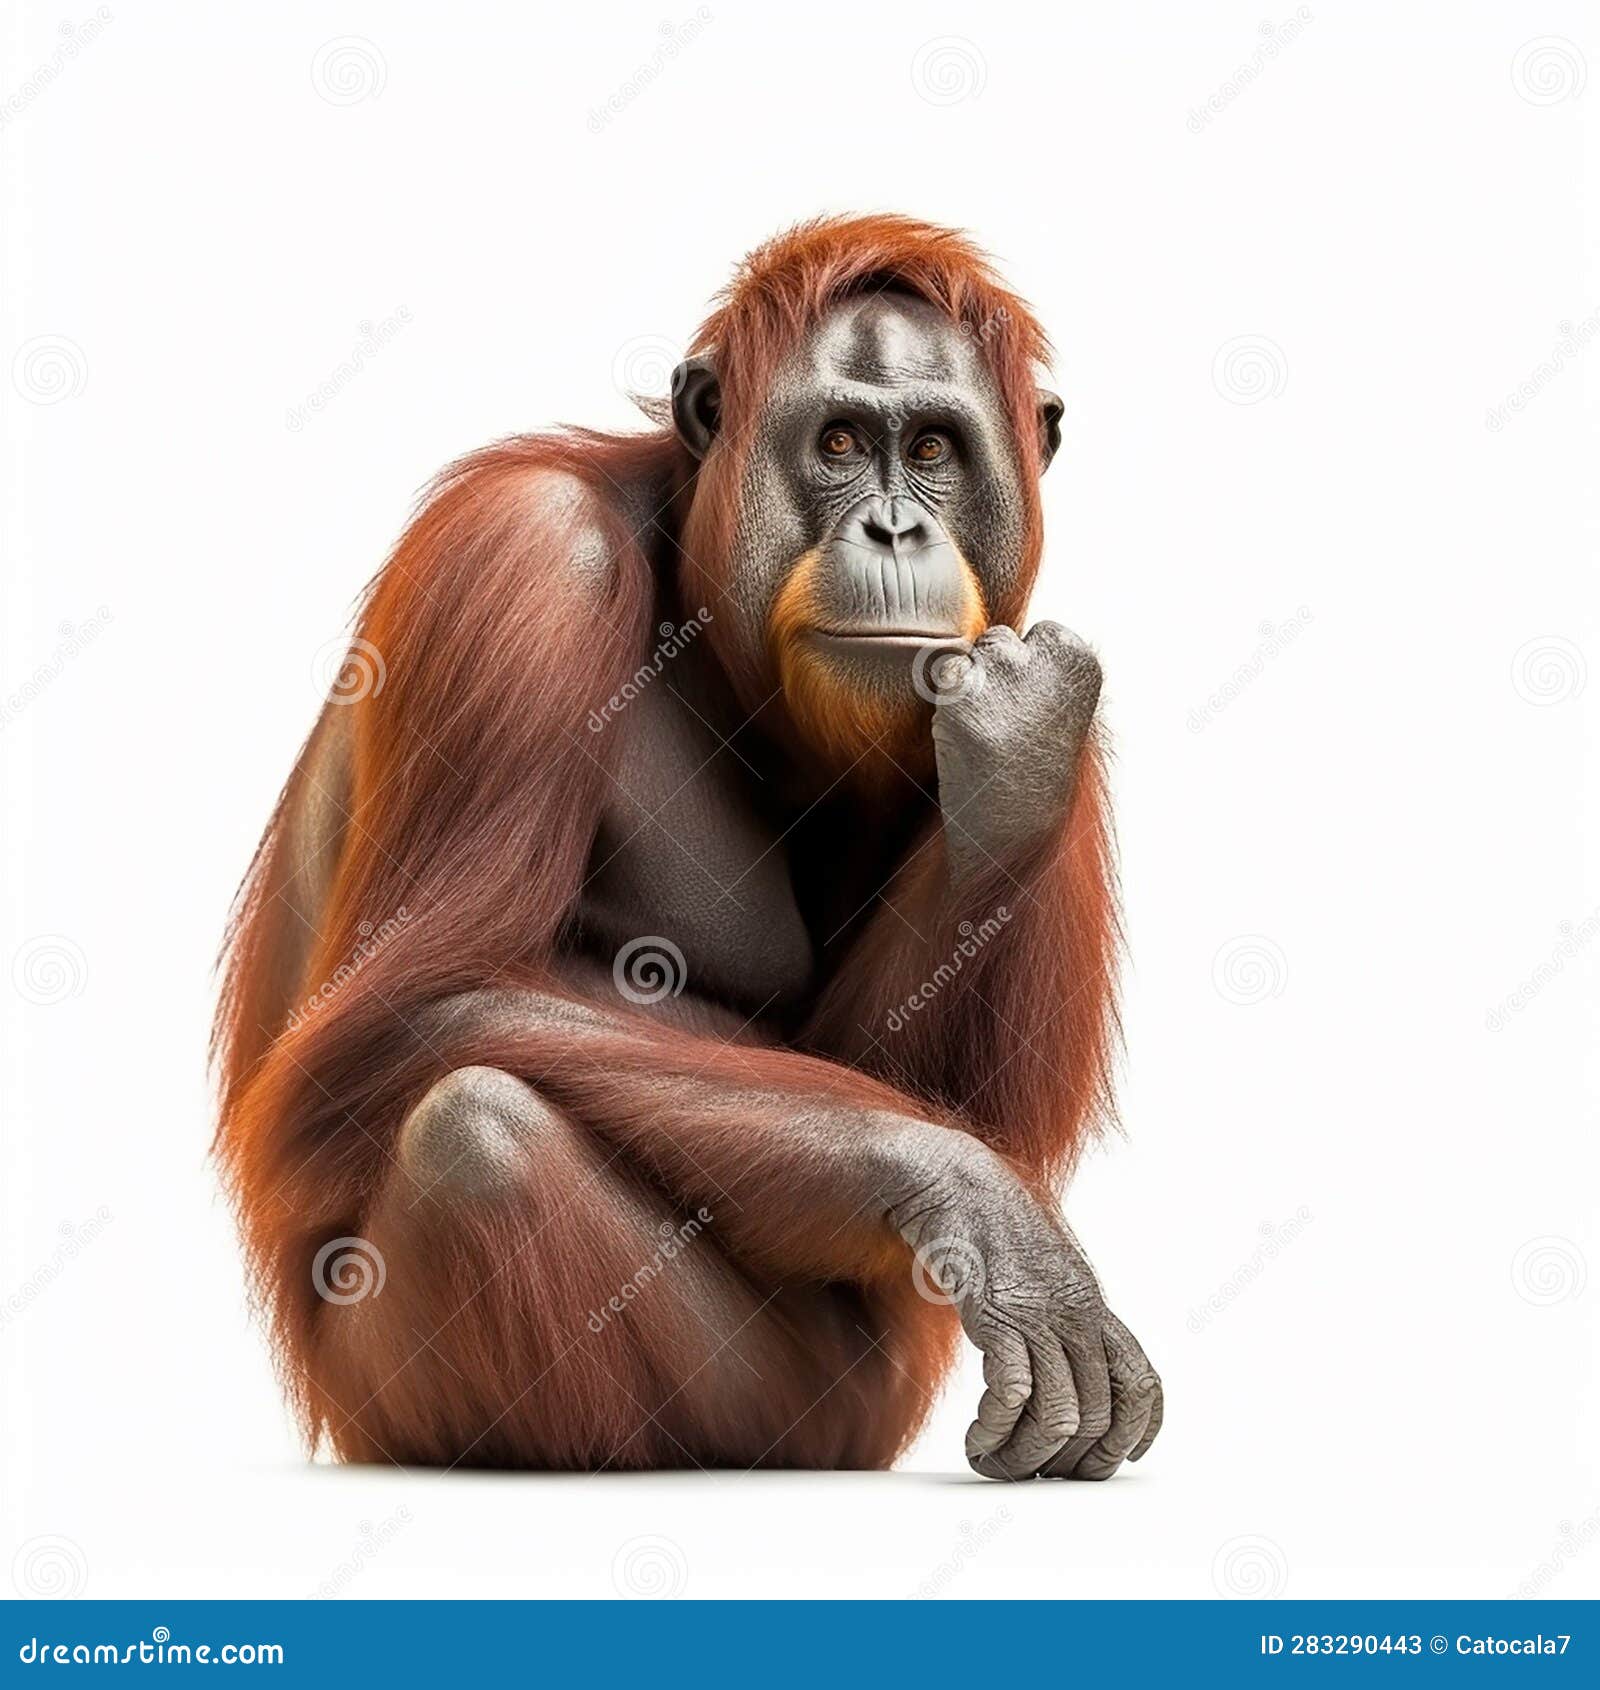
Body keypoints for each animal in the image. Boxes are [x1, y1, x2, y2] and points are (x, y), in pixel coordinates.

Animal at [214, 214, 1162, 1480]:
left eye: (933, 449)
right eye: (841, 441)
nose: (896, 525)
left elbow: (915, 1081)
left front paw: (1018, 756)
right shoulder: (526, 558)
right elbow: (409, 1008)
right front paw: (981, 1209)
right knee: (477, 1137)